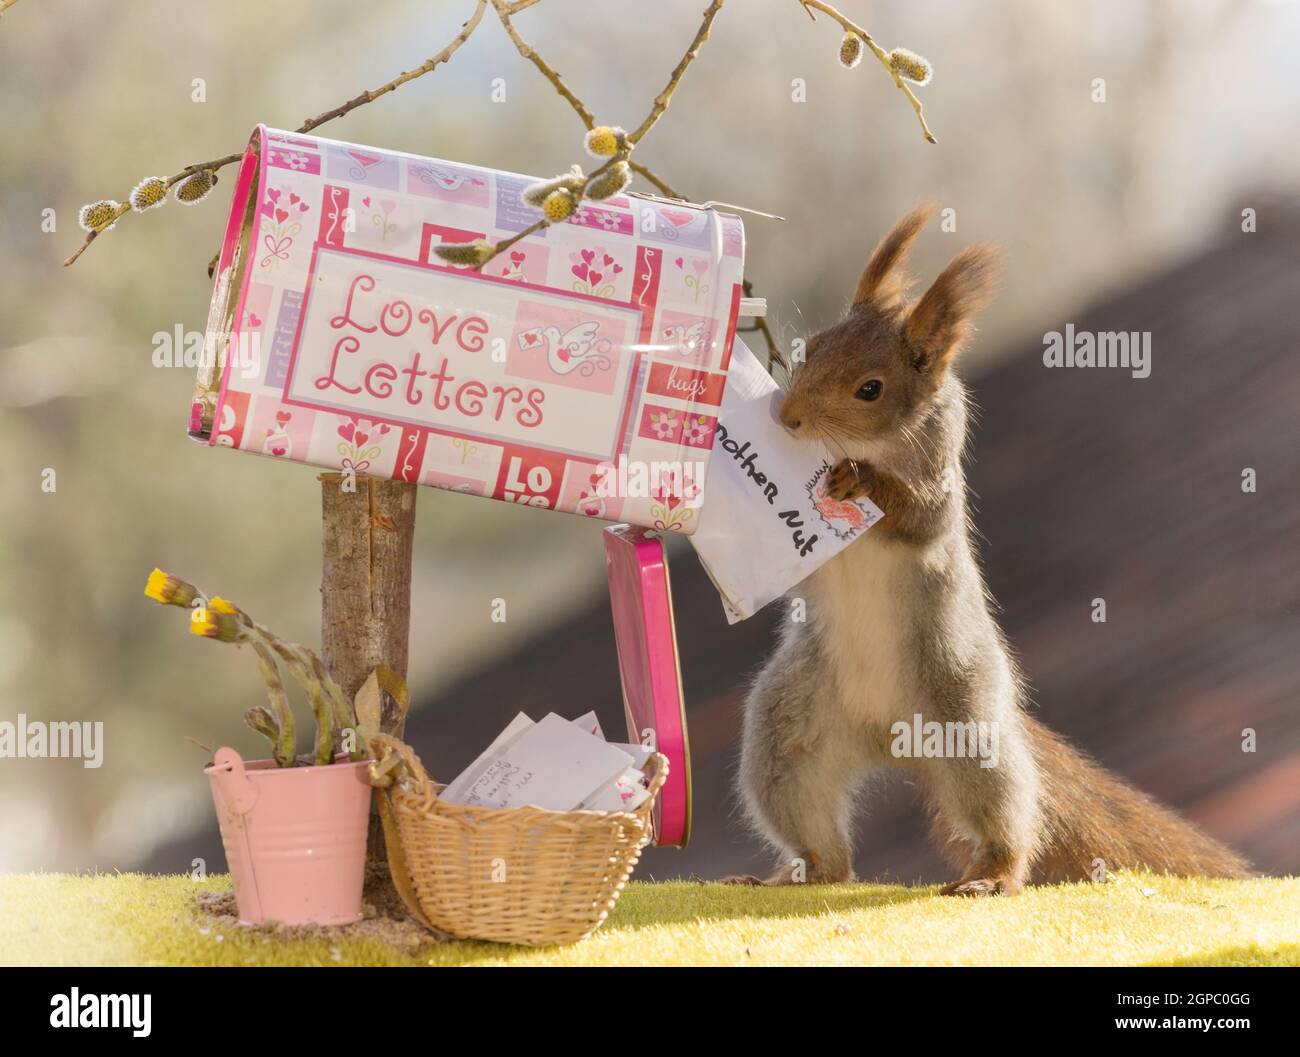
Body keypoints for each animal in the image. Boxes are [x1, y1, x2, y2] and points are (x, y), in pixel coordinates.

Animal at [731, 203, 1249, 894]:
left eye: (870, 389)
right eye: (810, 348)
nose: (785, 416)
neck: (875, 442)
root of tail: (889, 739)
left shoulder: (938, 482)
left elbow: (920, 517)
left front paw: (863, 481)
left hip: (964, 719)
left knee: (1003, 806)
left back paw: (993, 875)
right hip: (790, 733)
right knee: (819, 833)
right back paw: (802, 873)